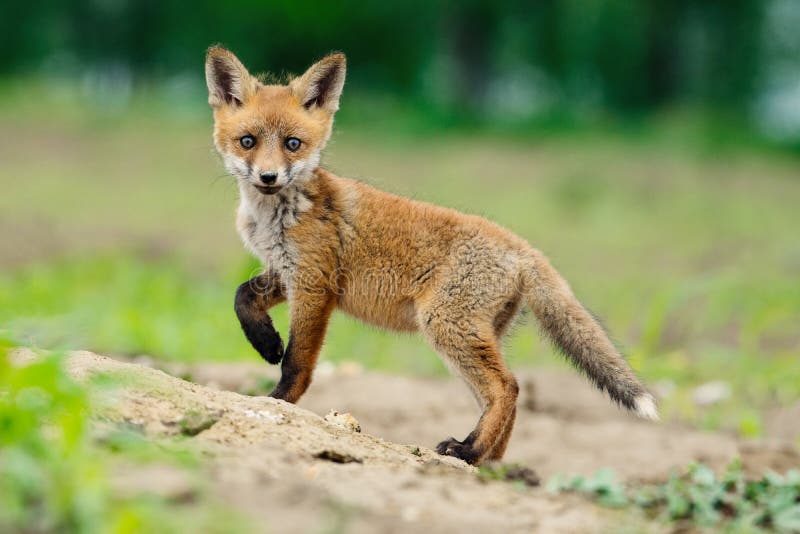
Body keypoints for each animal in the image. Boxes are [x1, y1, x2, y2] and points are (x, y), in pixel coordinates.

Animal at [205, 46, 658, 465]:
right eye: (248, 142)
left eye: (292, 144)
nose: (268, 177)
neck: (276, 215)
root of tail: (522, 246)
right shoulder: (287, 271)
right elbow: (242, 297)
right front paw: (266, 342)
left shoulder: (316, 284)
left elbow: (297, 361)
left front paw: (279, 398)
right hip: (471, 338)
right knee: (504, 397)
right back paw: (487, 461)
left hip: (445, 326)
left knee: (508, 387)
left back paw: (467, 449)